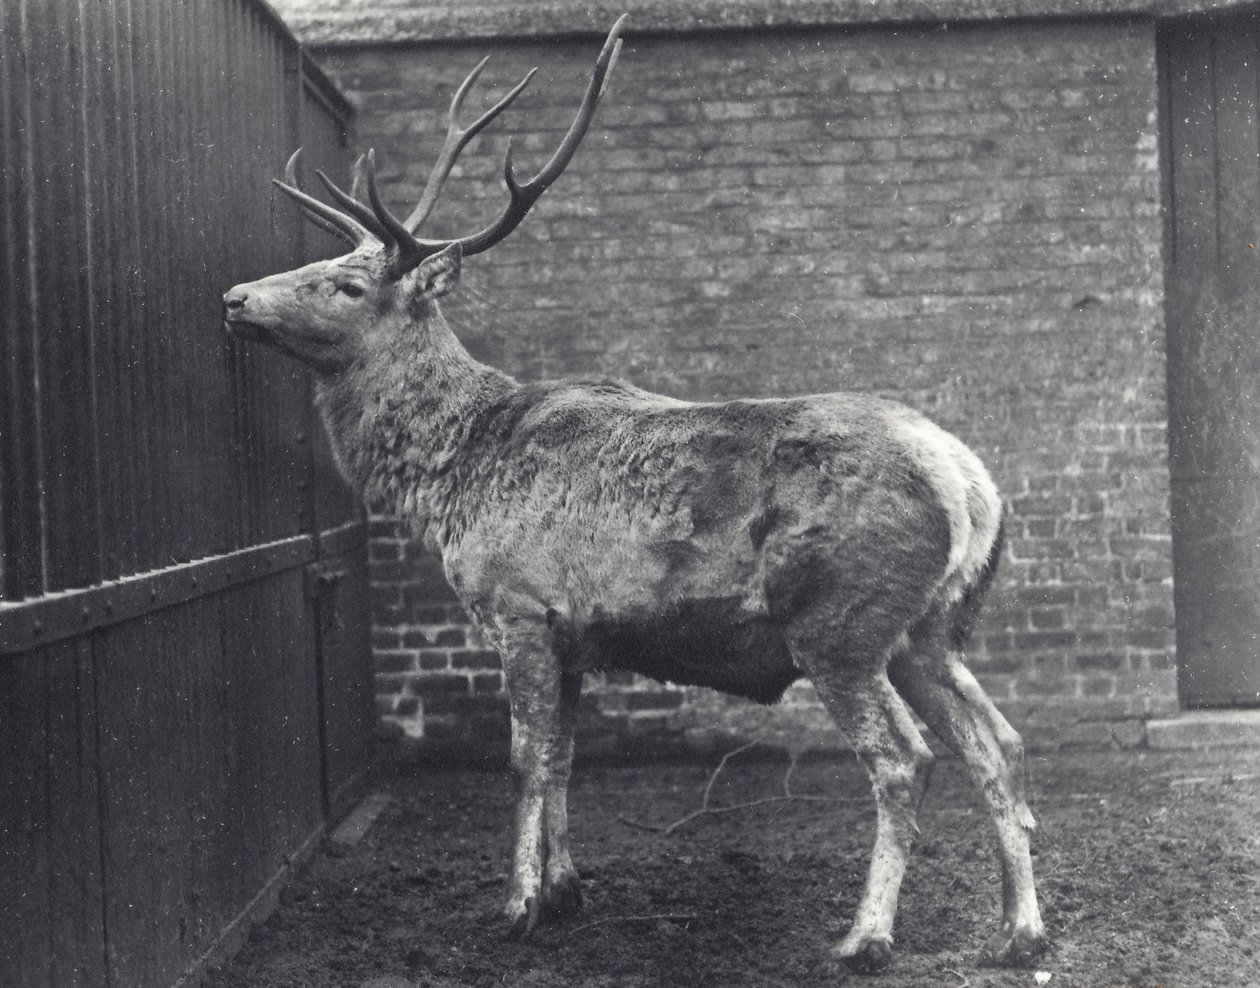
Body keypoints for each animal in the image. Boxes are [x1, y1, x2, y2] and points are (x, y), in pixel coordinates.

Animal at [222, 16, 1047, 974]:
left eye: (348, 285)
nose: (236, 296)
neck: (452, 477)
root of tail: (969, 484)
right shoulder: (575, 635)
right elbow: (563, 757)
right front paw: (567, 889)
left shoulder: (518, 606)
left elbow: (523, 760)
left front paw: (517, 905)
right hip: (932, 628)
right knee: (999, 744)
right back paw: (1019, 929)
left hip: (839, 620)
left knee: (905, 759)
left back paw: (865, 936)